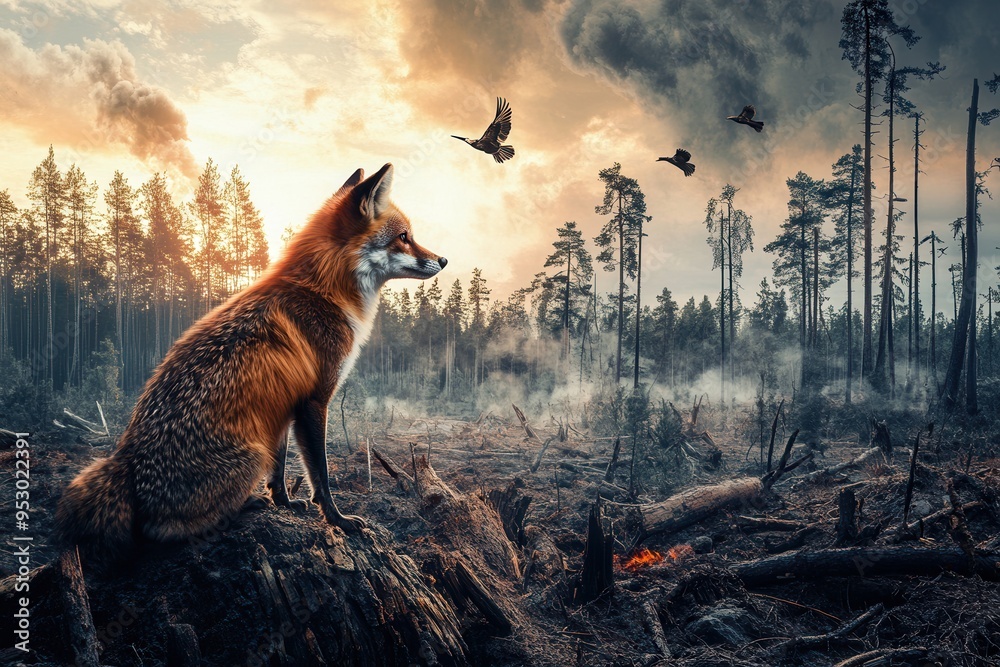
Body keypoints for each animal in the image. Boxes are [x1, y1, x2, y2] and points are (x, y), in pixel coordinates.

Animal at [55, 163, 446, 565]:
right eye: (404, 237)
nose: (444, 260)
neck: (324, 289)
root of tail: (126, 462)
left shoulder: (284, 404)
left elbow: (281, 466)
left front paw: (285, 502)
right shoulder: (314, 400)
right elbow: (320, 475)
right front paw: (337, 520)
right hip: (249, 458)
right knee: (160, 532)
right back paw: (240, 507)